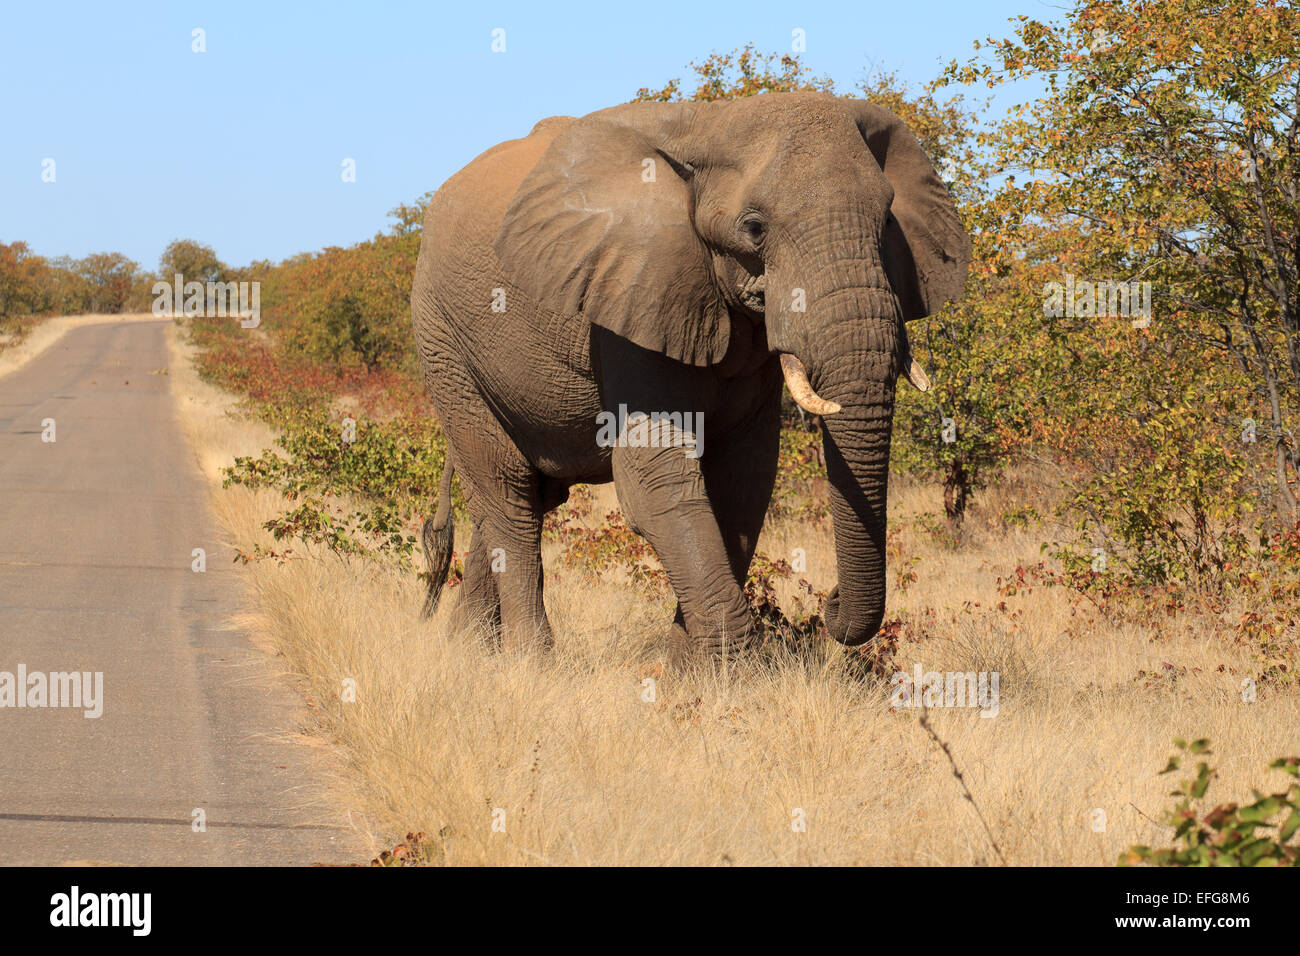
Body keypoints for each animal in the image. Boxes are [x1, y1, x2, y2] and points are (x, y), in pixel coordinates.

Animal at [411, 91, 970, 658]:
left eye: (887, 222)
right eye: (754, 228)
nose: (830, 603)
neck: (713, 122)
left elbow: (745, 478)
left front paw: (686, 665)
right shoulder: (631, 292)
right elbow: (654, 475)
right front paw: (732, 670)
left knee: (528, 494)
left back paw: (468, 652)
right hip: (444, 341)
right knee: (506, 491)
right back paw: (533, 660)